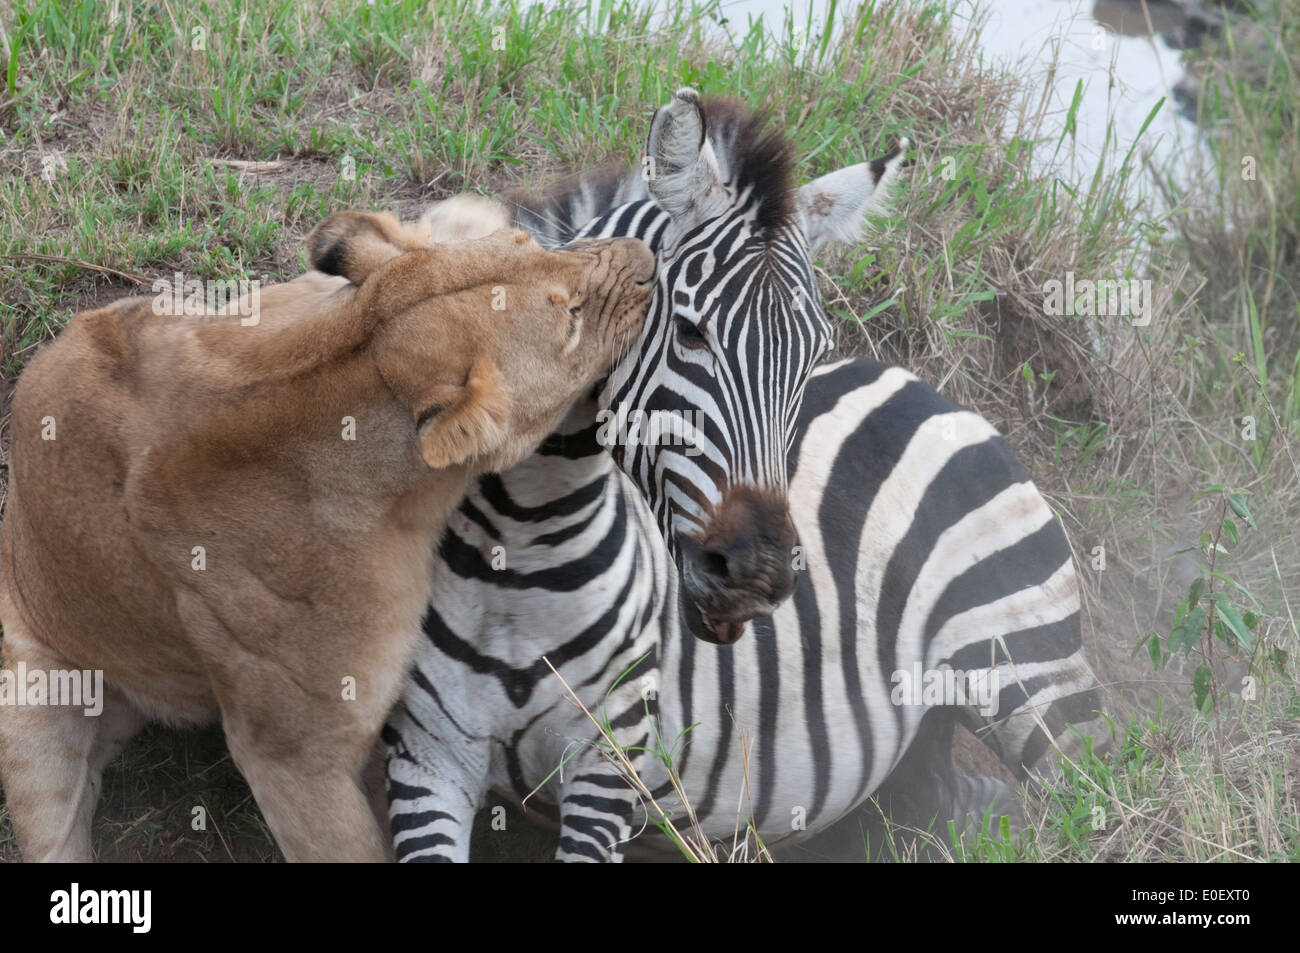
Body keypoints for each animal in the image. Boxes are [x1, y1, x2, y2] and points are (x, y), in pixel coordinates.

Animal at [0, 210, 653, 862]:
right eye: (572, 316)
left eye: (532, 242)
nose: (648, 259)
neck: (355, 360)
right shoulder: (292, 761)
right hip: (35, 710)